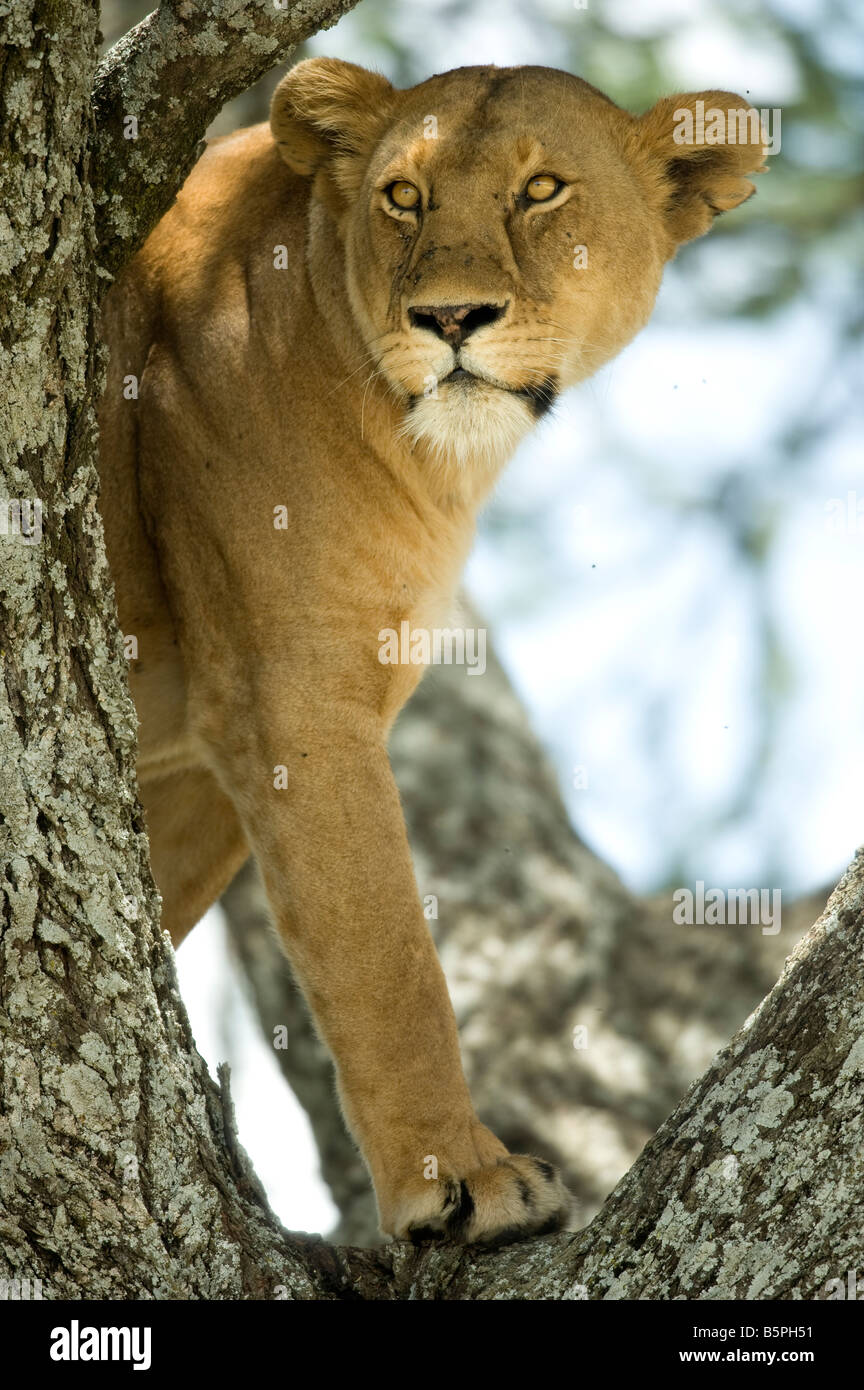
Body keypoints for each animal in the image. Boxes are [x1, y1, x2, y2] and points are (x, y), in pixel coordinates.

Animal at [97, 59, 765, 1246]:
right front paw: (463, 1180)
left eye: (540, 190)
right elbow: (388, 961)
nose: (451, 316)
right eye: (403, 197)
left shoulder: (198, 764)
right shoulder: (293, 701)